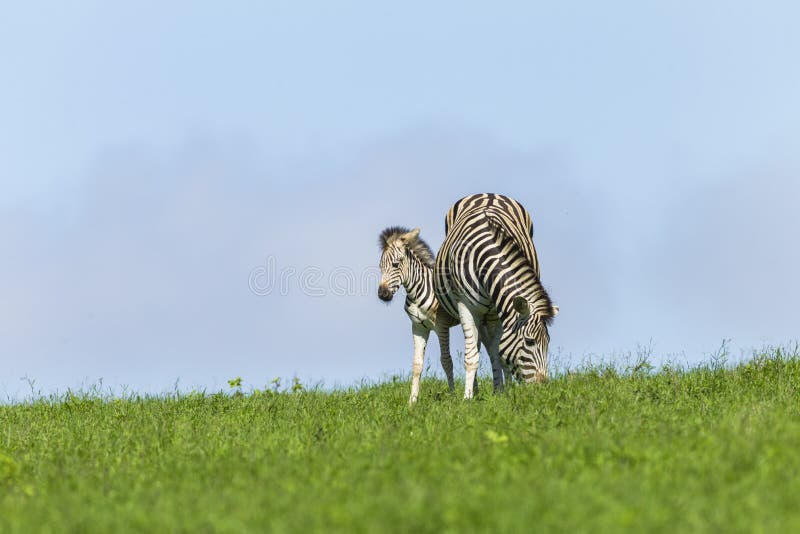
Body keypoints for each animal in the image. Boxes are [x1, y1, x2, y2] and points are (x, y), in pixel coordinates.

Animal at [378, 226, 497, 403]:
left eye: (395, 264)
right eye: (380, 266)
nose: (382, 294)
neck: (417, 292)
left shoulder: (441, 326)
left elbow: (446, 361)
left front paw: (453, 395)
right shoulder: (418, 327)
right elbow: (417, 365)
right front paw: (412, 402)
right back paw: (476, 392)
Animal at [434, 194, 559, 399]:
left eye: (548, 342)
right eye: (530, 341)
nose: (542, 390)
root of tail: (487, 194)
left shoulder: (501, 311)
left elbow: (498, 352)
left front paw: (501, 392)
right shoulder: (466, 306)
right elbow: (472, 355)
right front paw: (467, 398)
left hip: (489, 316)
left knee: (491, 348)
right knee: (476, 345)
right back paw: (475, 390)